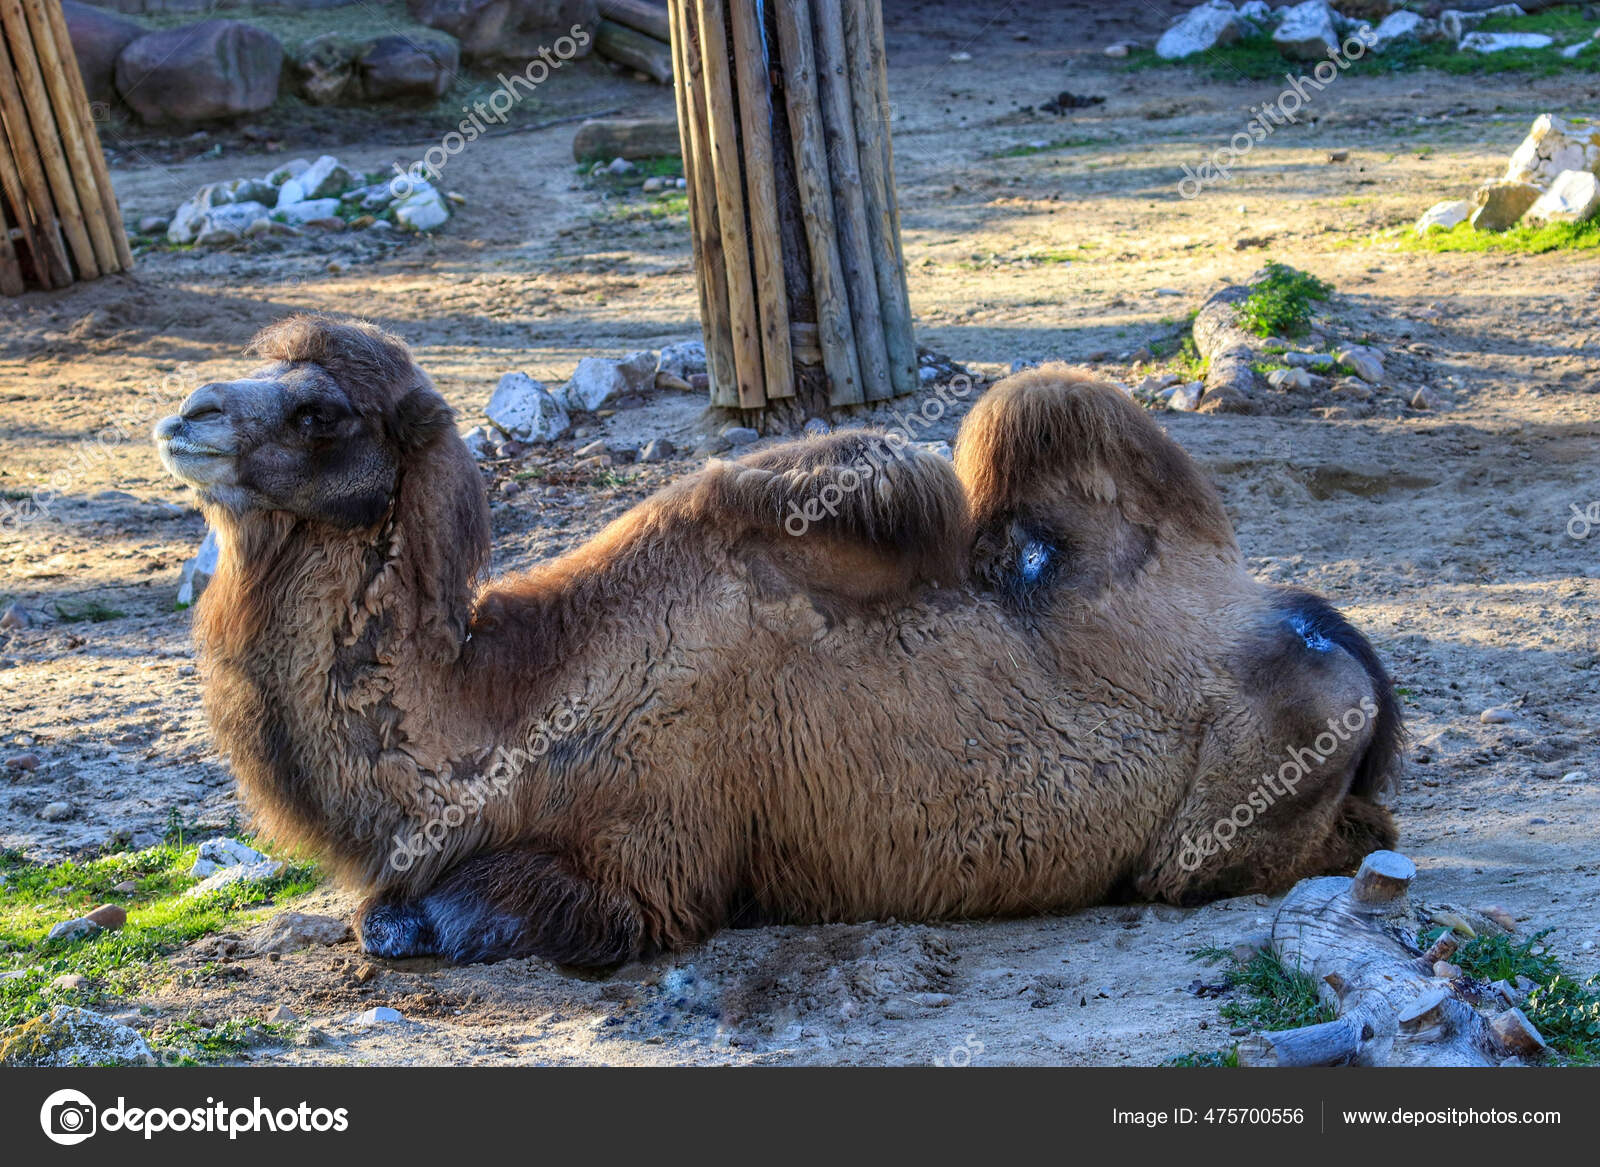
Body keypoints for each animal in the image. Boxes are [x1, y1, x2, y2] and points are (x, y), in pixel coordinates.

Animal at [154, 316, 1402, 970]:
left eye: (323, 411)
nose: (185, 414)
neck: (510, 717)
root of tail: (1333, 642)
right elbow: (381, 908)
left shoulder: (650, 869)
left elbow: (438, 916)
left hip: (1227, 811)